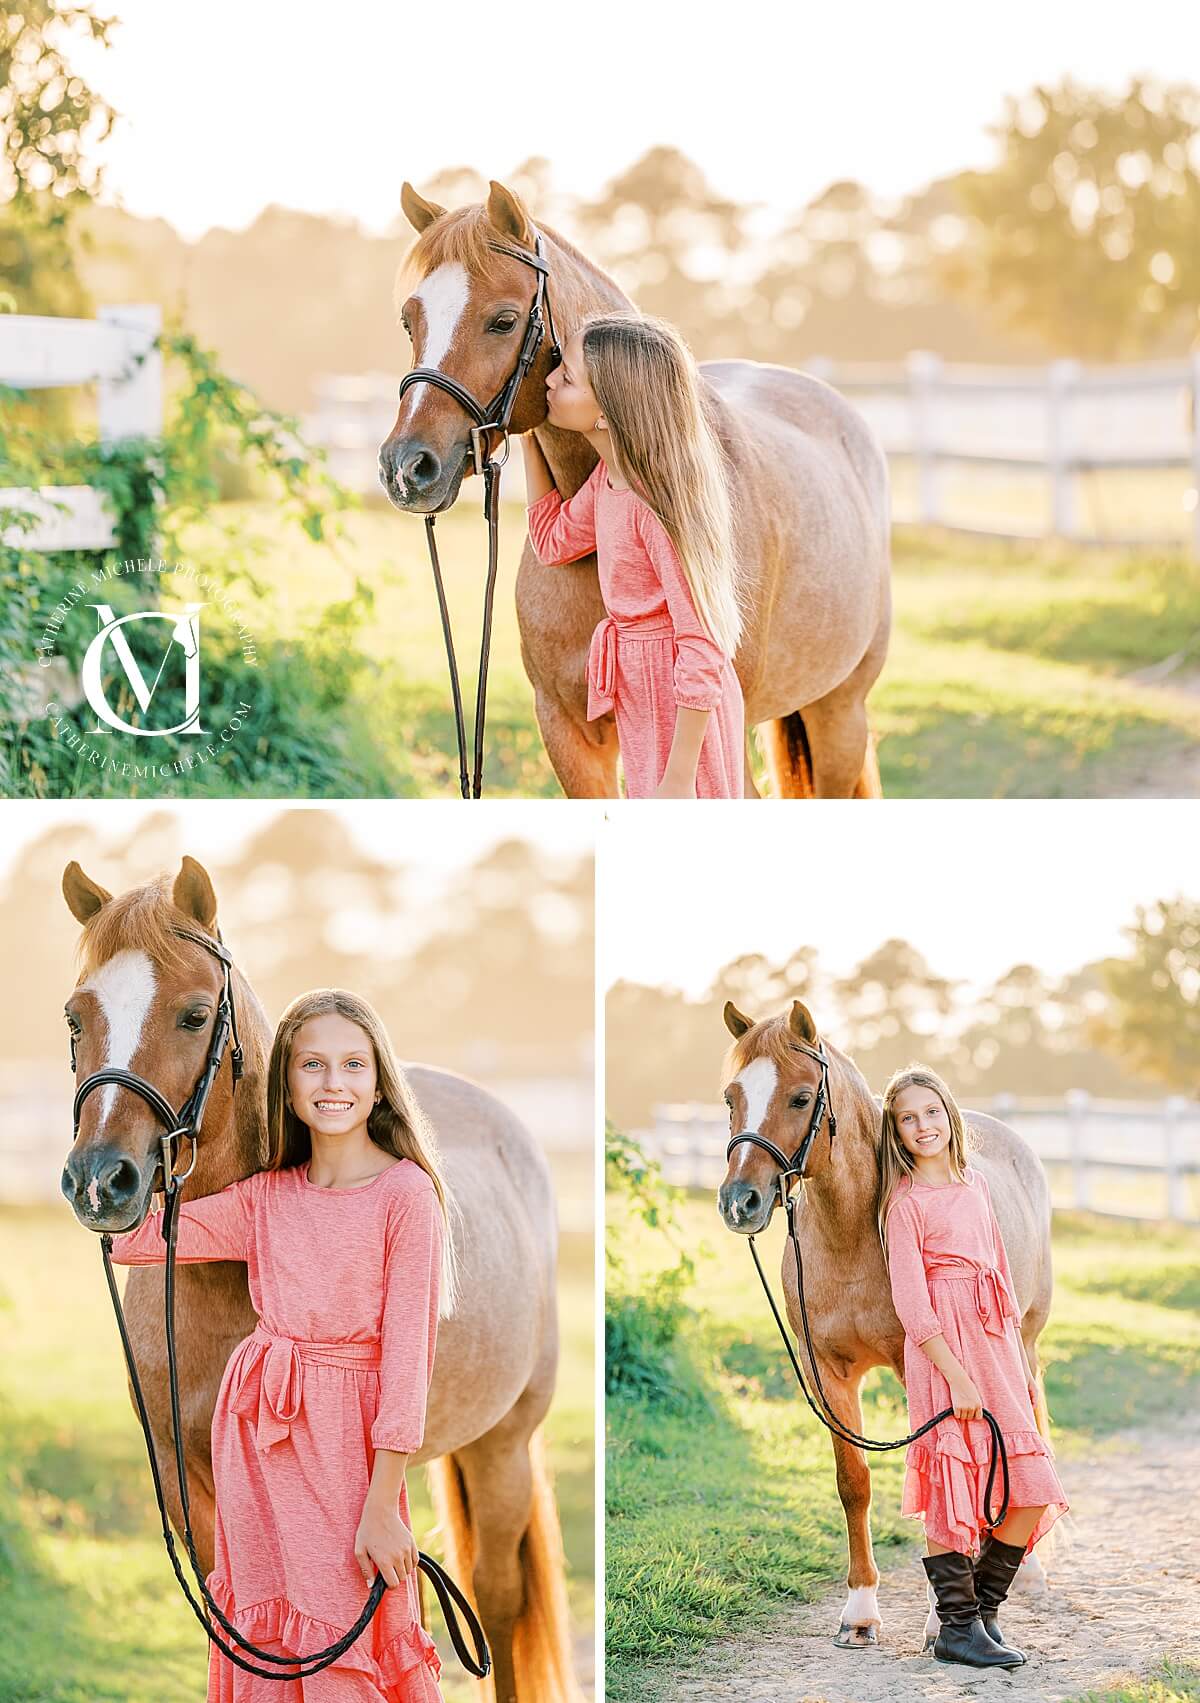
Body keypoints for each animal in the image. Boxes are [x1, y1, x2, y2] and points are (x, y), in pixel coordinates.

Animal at [59, 855, 580, 1703]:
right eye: (77, 1018)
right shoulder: (186, 1483)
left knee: (496, 1601)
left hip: (504, 1443)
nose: (101, 1180)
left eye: (195, 1015)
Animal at [717, 997, 1053, 1648]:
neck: (852, 1235)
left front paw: (941, 1617)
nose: (739, 1202)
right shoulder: (830, 1374)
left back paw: (1026, 1573)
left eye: (801, 1097)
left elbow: (940, 1477)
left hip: (1021, 1342)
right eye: (730, 1097)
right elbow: (854, 1483)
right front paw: (860, 1611)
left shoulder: (922, 1370)